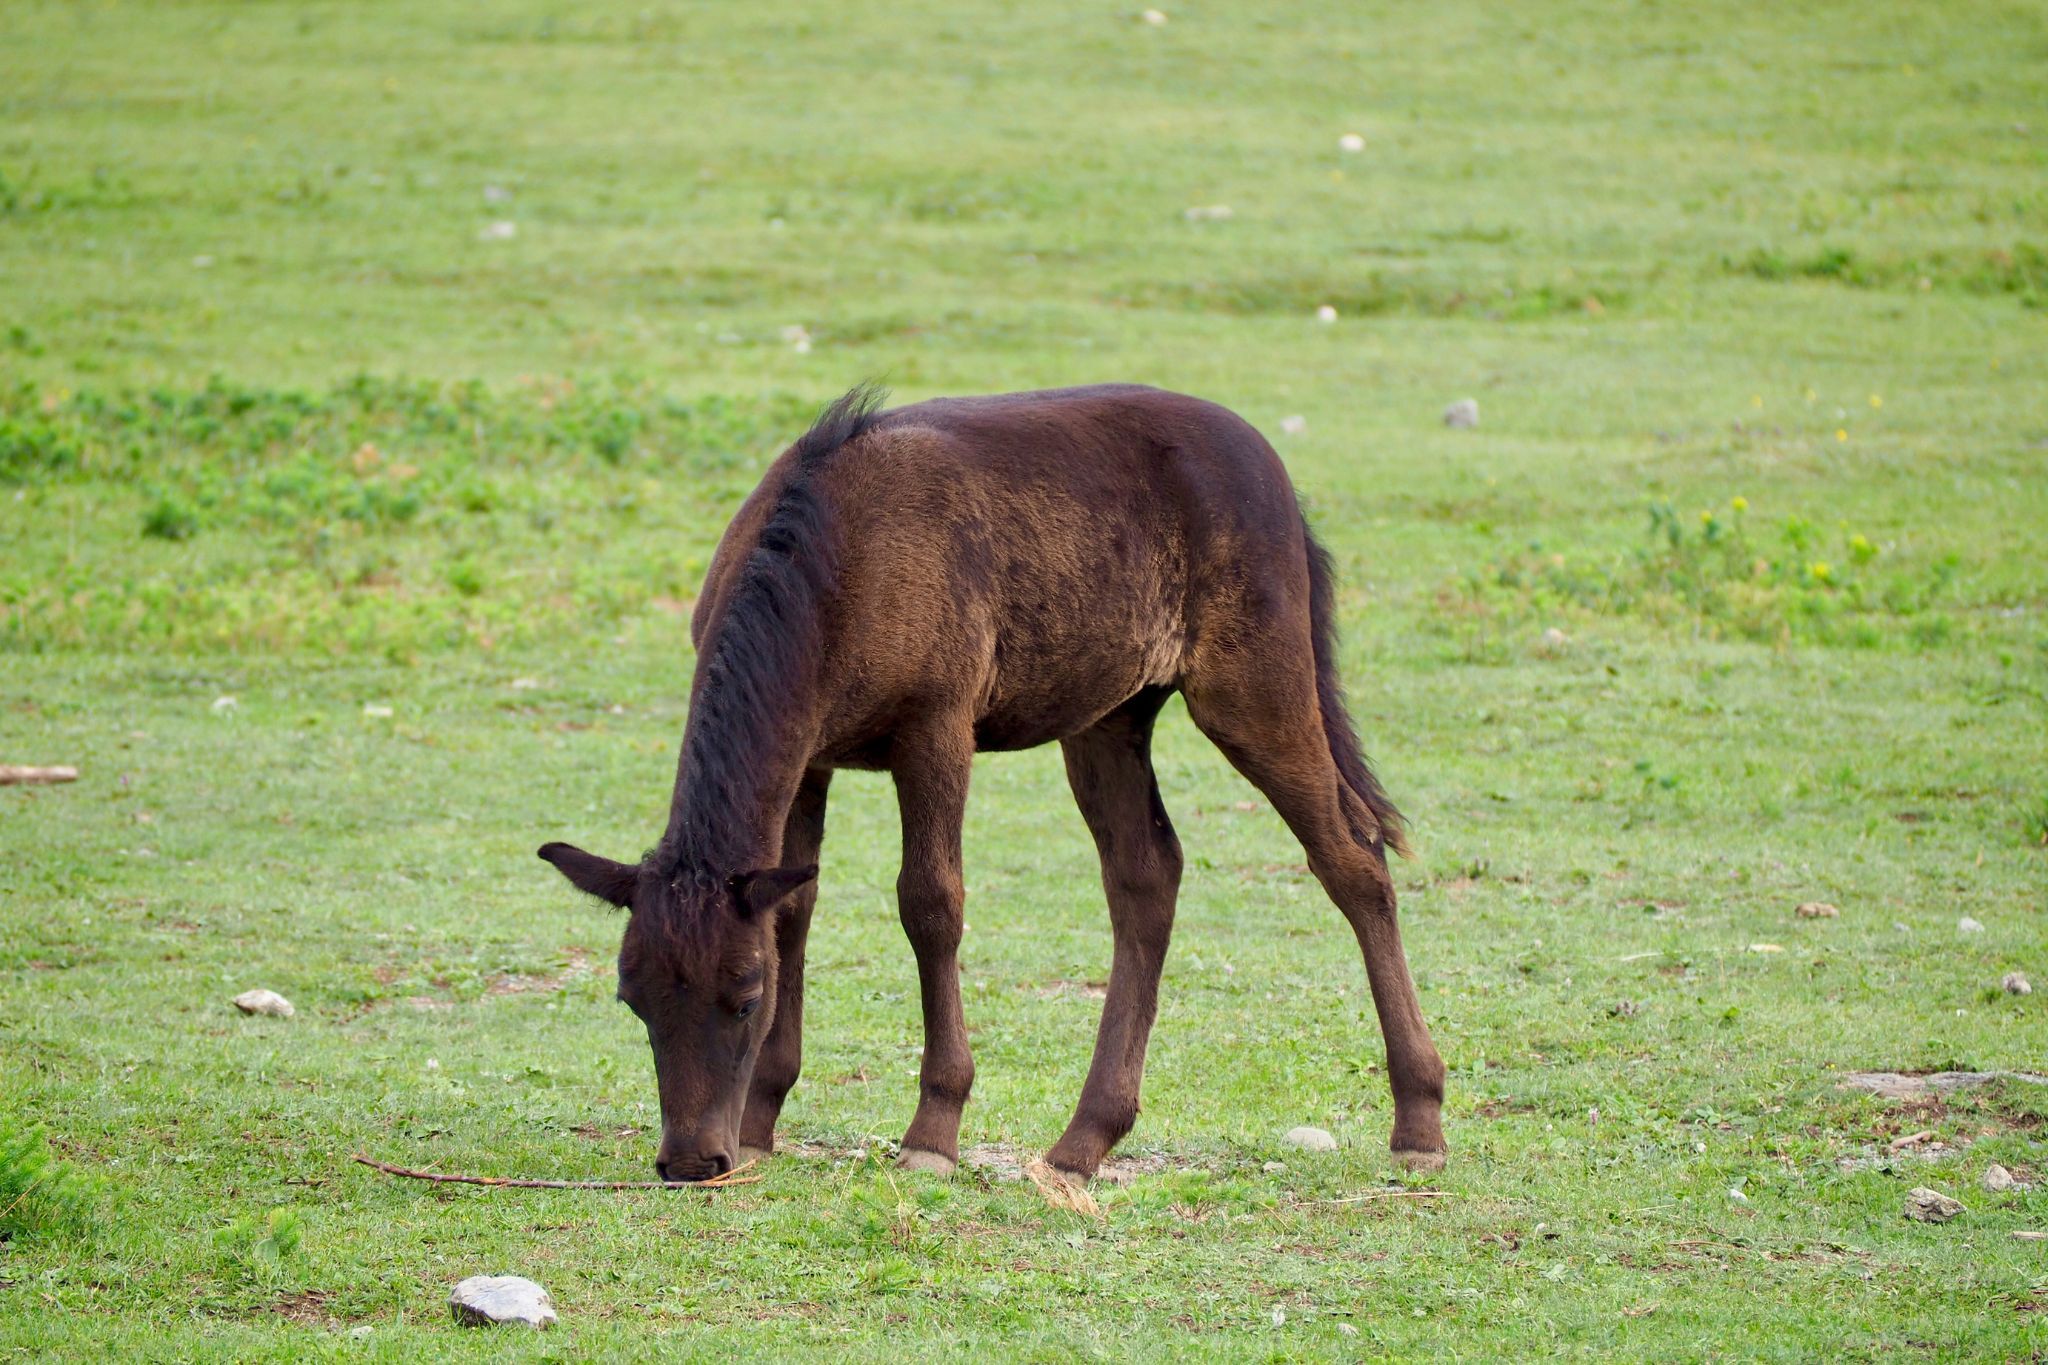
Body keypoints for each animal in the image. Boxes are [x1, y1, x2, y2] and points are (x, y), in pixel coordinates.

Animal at [539, 383, 1447, 1184]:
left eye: (743, 994)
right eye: (633, 998)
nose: (693, 1159)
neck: (834, 566)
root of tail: (1283, 483)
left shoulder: (938, 726)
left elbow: (930, 903)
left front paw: (933, 1129)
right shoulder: (808, 758)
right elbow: (796, 909)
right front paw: (763, 1115)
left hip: (1253, 685)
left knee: (1352, 856)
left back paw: (1419, 1120)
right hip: (1108, 716)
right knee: (1146, 874)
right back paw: (1085, 1138)